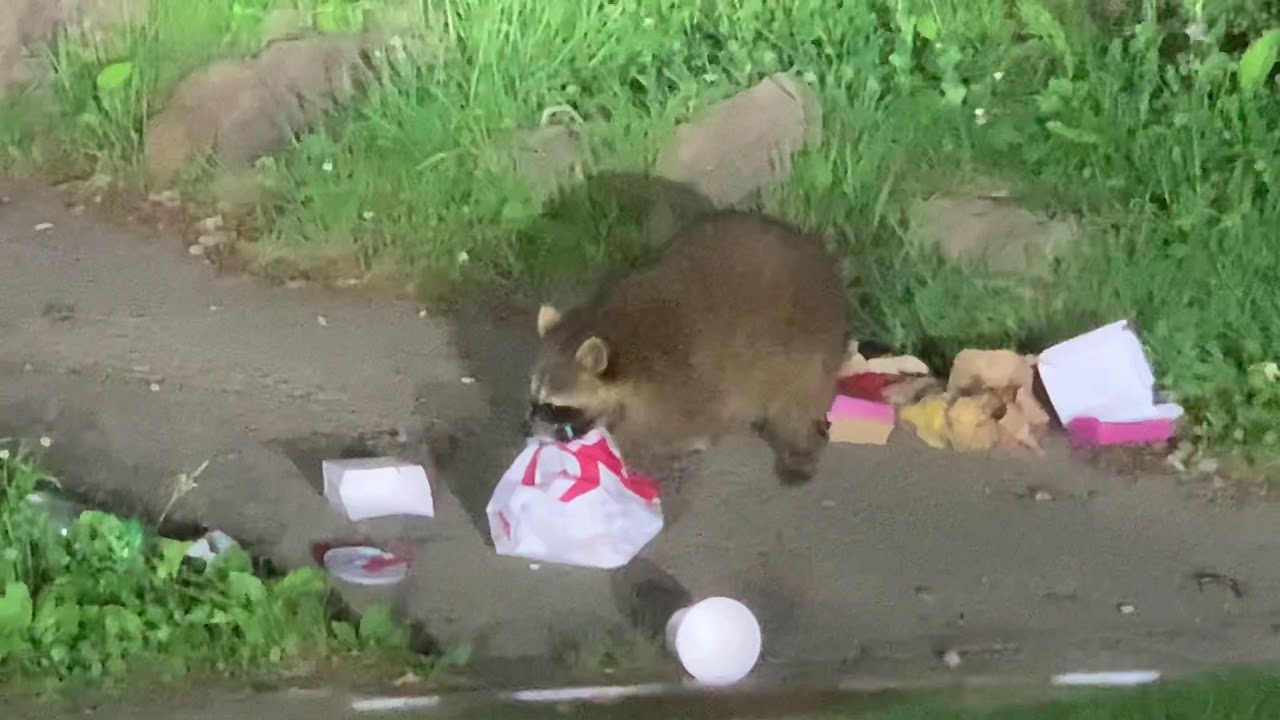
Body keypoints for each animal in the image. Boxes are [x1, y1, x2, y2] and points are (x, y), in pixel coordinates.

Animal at [528, 210, 847, 486]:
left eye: (556, 407)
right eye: (534, 400)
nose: (526, 428)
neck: (613, 330)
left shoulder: (685, 382)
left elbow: (686, 421)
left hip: (804, 340)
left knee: (797, 399)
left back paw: (799, 444)